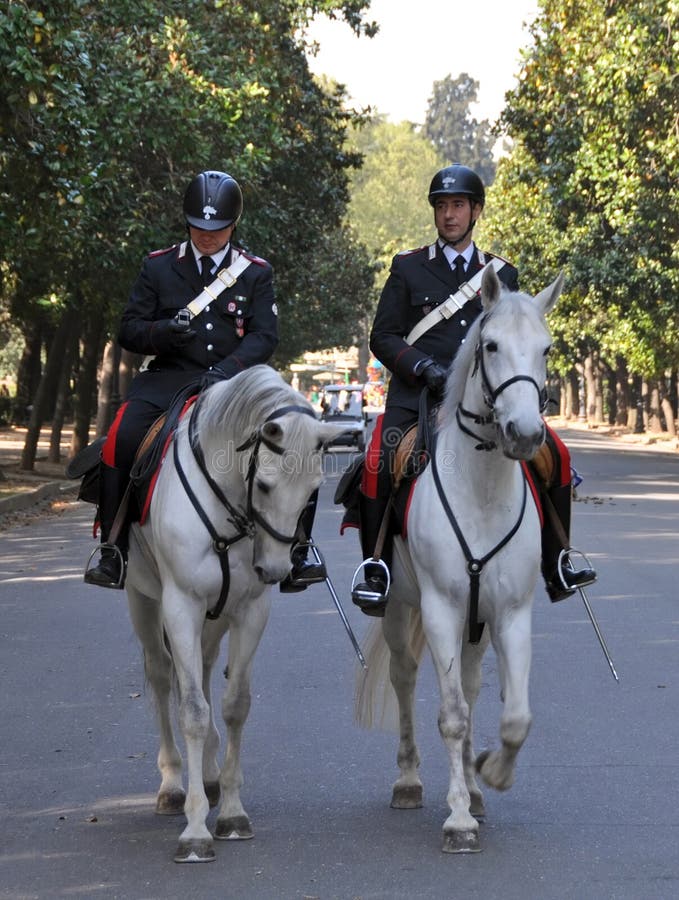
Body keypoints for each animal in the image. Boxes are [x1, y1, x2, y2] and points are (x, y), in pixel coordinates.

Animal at [123, 365, 340, 863]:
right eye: (264, 486)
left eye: (313, 492)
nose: (276, 569)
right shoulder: (180, 604)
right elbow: (192, 711)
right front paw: (195, 831)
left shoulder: (250, 610)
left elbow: (234, 705)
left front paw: (232, 814)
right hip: (143, 601)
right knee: (163, 678)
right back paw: (173, 785)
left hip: (213, 618)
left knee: (201, 672)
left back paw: (207, 776)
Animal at [355, 265, 564, 853]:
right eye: (490, 345)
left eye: (546, 349)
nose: (525, 434)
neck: (483, 489)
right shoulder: (442, 609)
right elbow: (450, 715)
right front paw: (458, 821)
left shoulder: (511, 613)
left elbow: (515, 717)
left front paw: (490, 773)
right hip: (401, 607)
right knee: (406, 678)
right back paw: (409, 781)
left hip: (479, 622)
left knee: (470, 688)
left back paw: (472, 787)